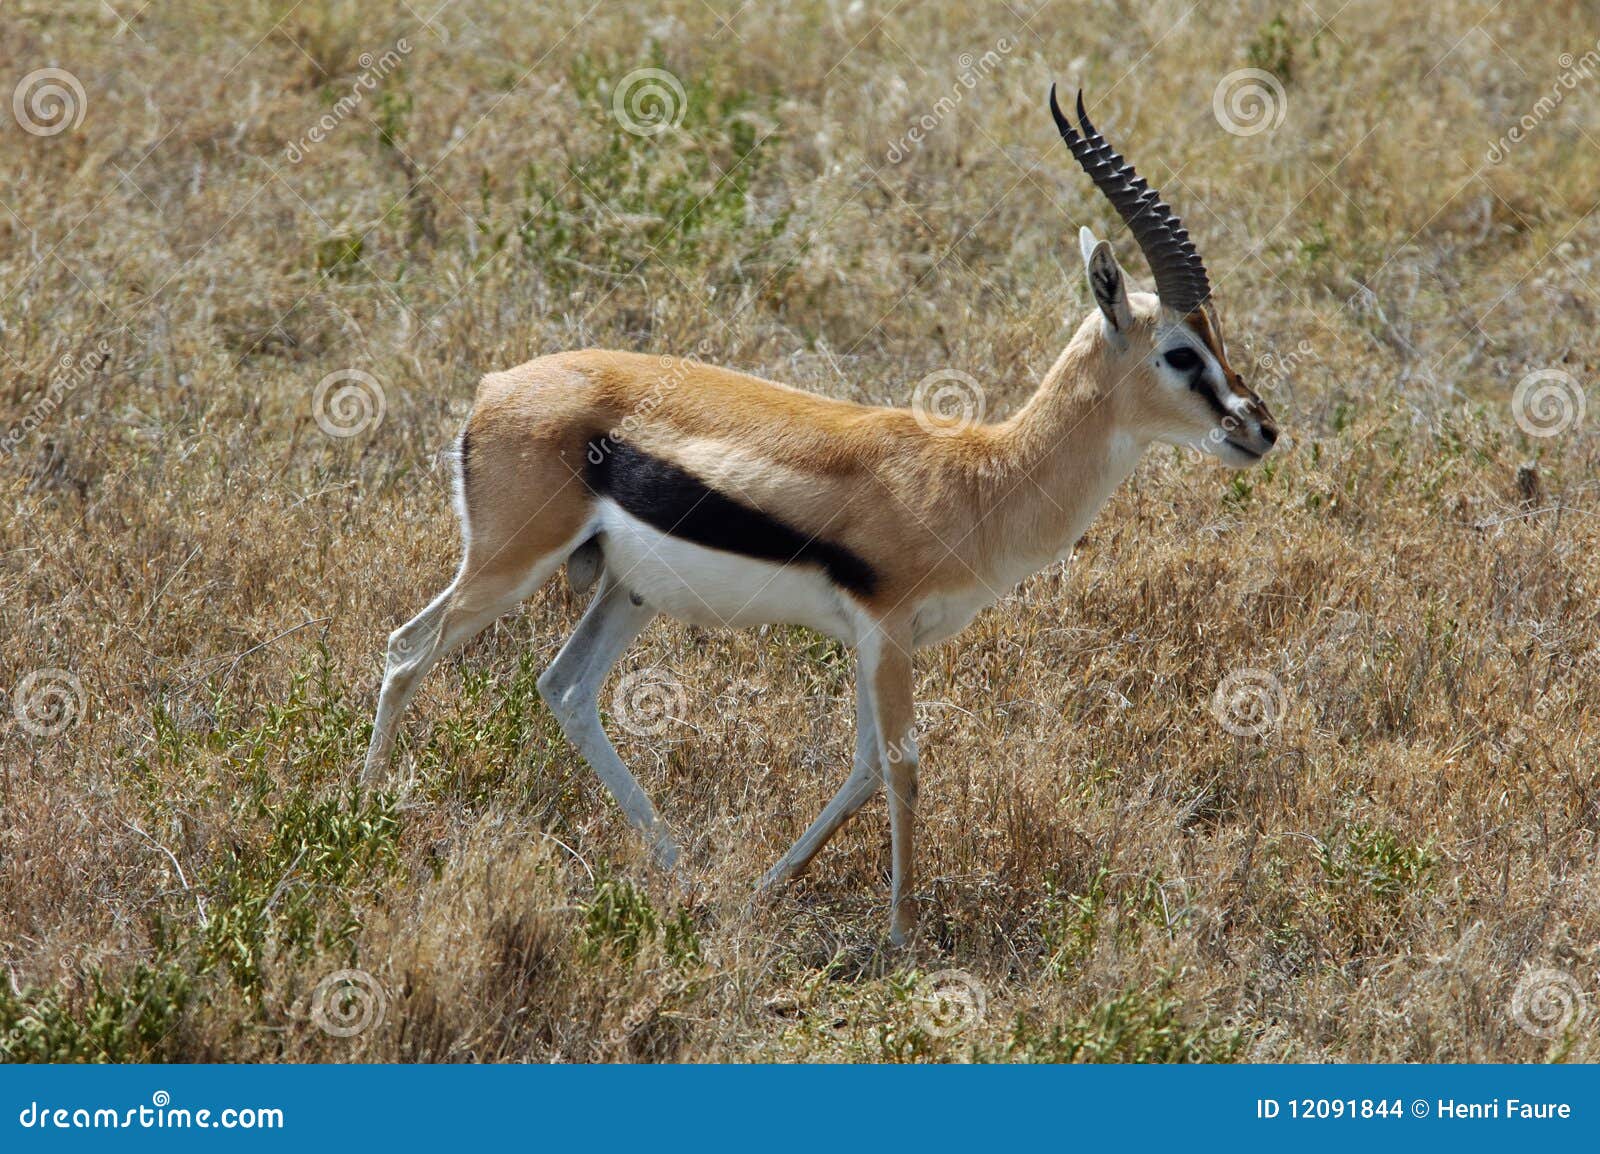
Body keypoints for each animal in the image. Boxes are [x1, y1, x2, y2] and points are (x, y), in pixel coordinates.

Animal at [362, 87, 1280, 943]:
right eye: (1181, 353)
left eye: (1221, 339)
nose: (1260, 428)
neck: (979, 476)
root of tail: (493, 391)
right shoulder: (884, 631)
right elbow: (903, 766)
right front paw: (903, 935)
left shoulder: (875, 641)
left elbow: (865, 766)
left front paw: (769, 890)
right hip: (512, 564)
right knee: (409, 652)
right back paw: (363, 818)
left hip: (626, 591)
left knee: (565, 687)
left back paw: (682, 871)